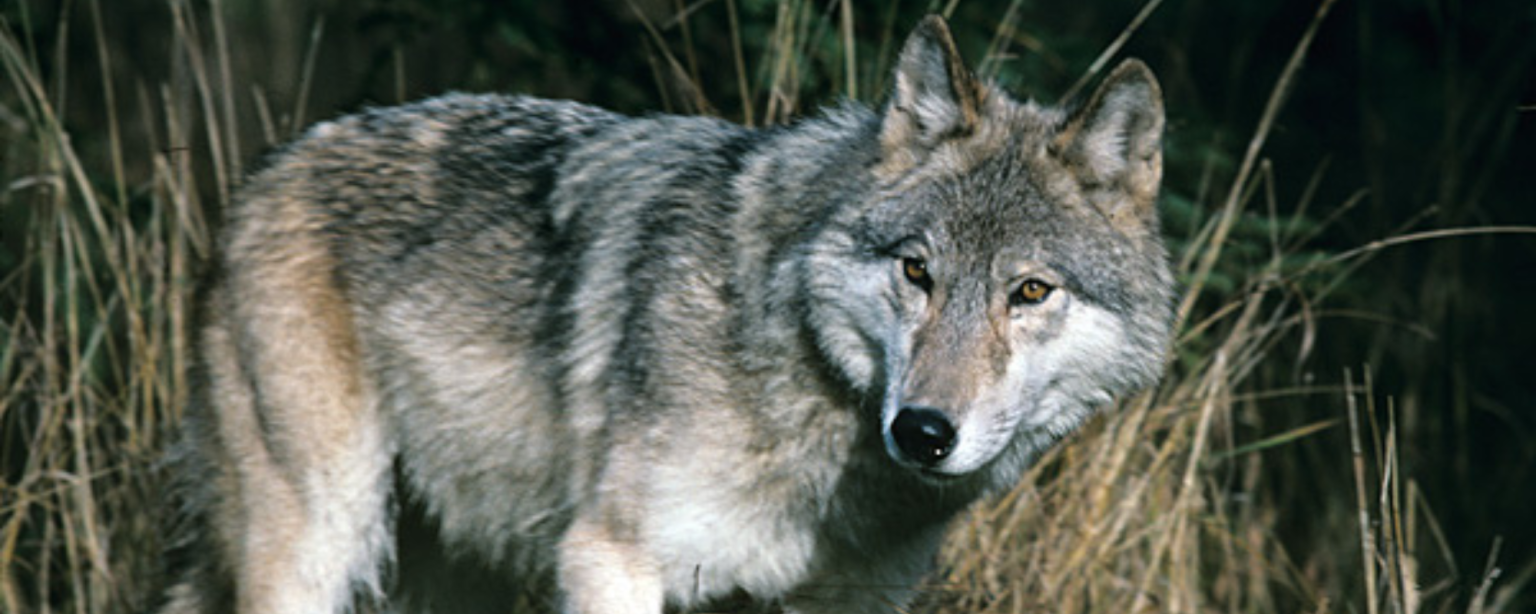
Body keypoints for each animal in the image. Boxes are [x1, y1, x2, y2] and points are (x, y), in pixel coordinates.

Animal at [156, 15, 1173, 614]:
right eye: (917, 271)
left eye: (1030, 291)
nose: (922, 431)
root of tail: (270, 168)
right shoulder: (610, 561)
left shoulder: (854, 599)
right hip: (317, 541)